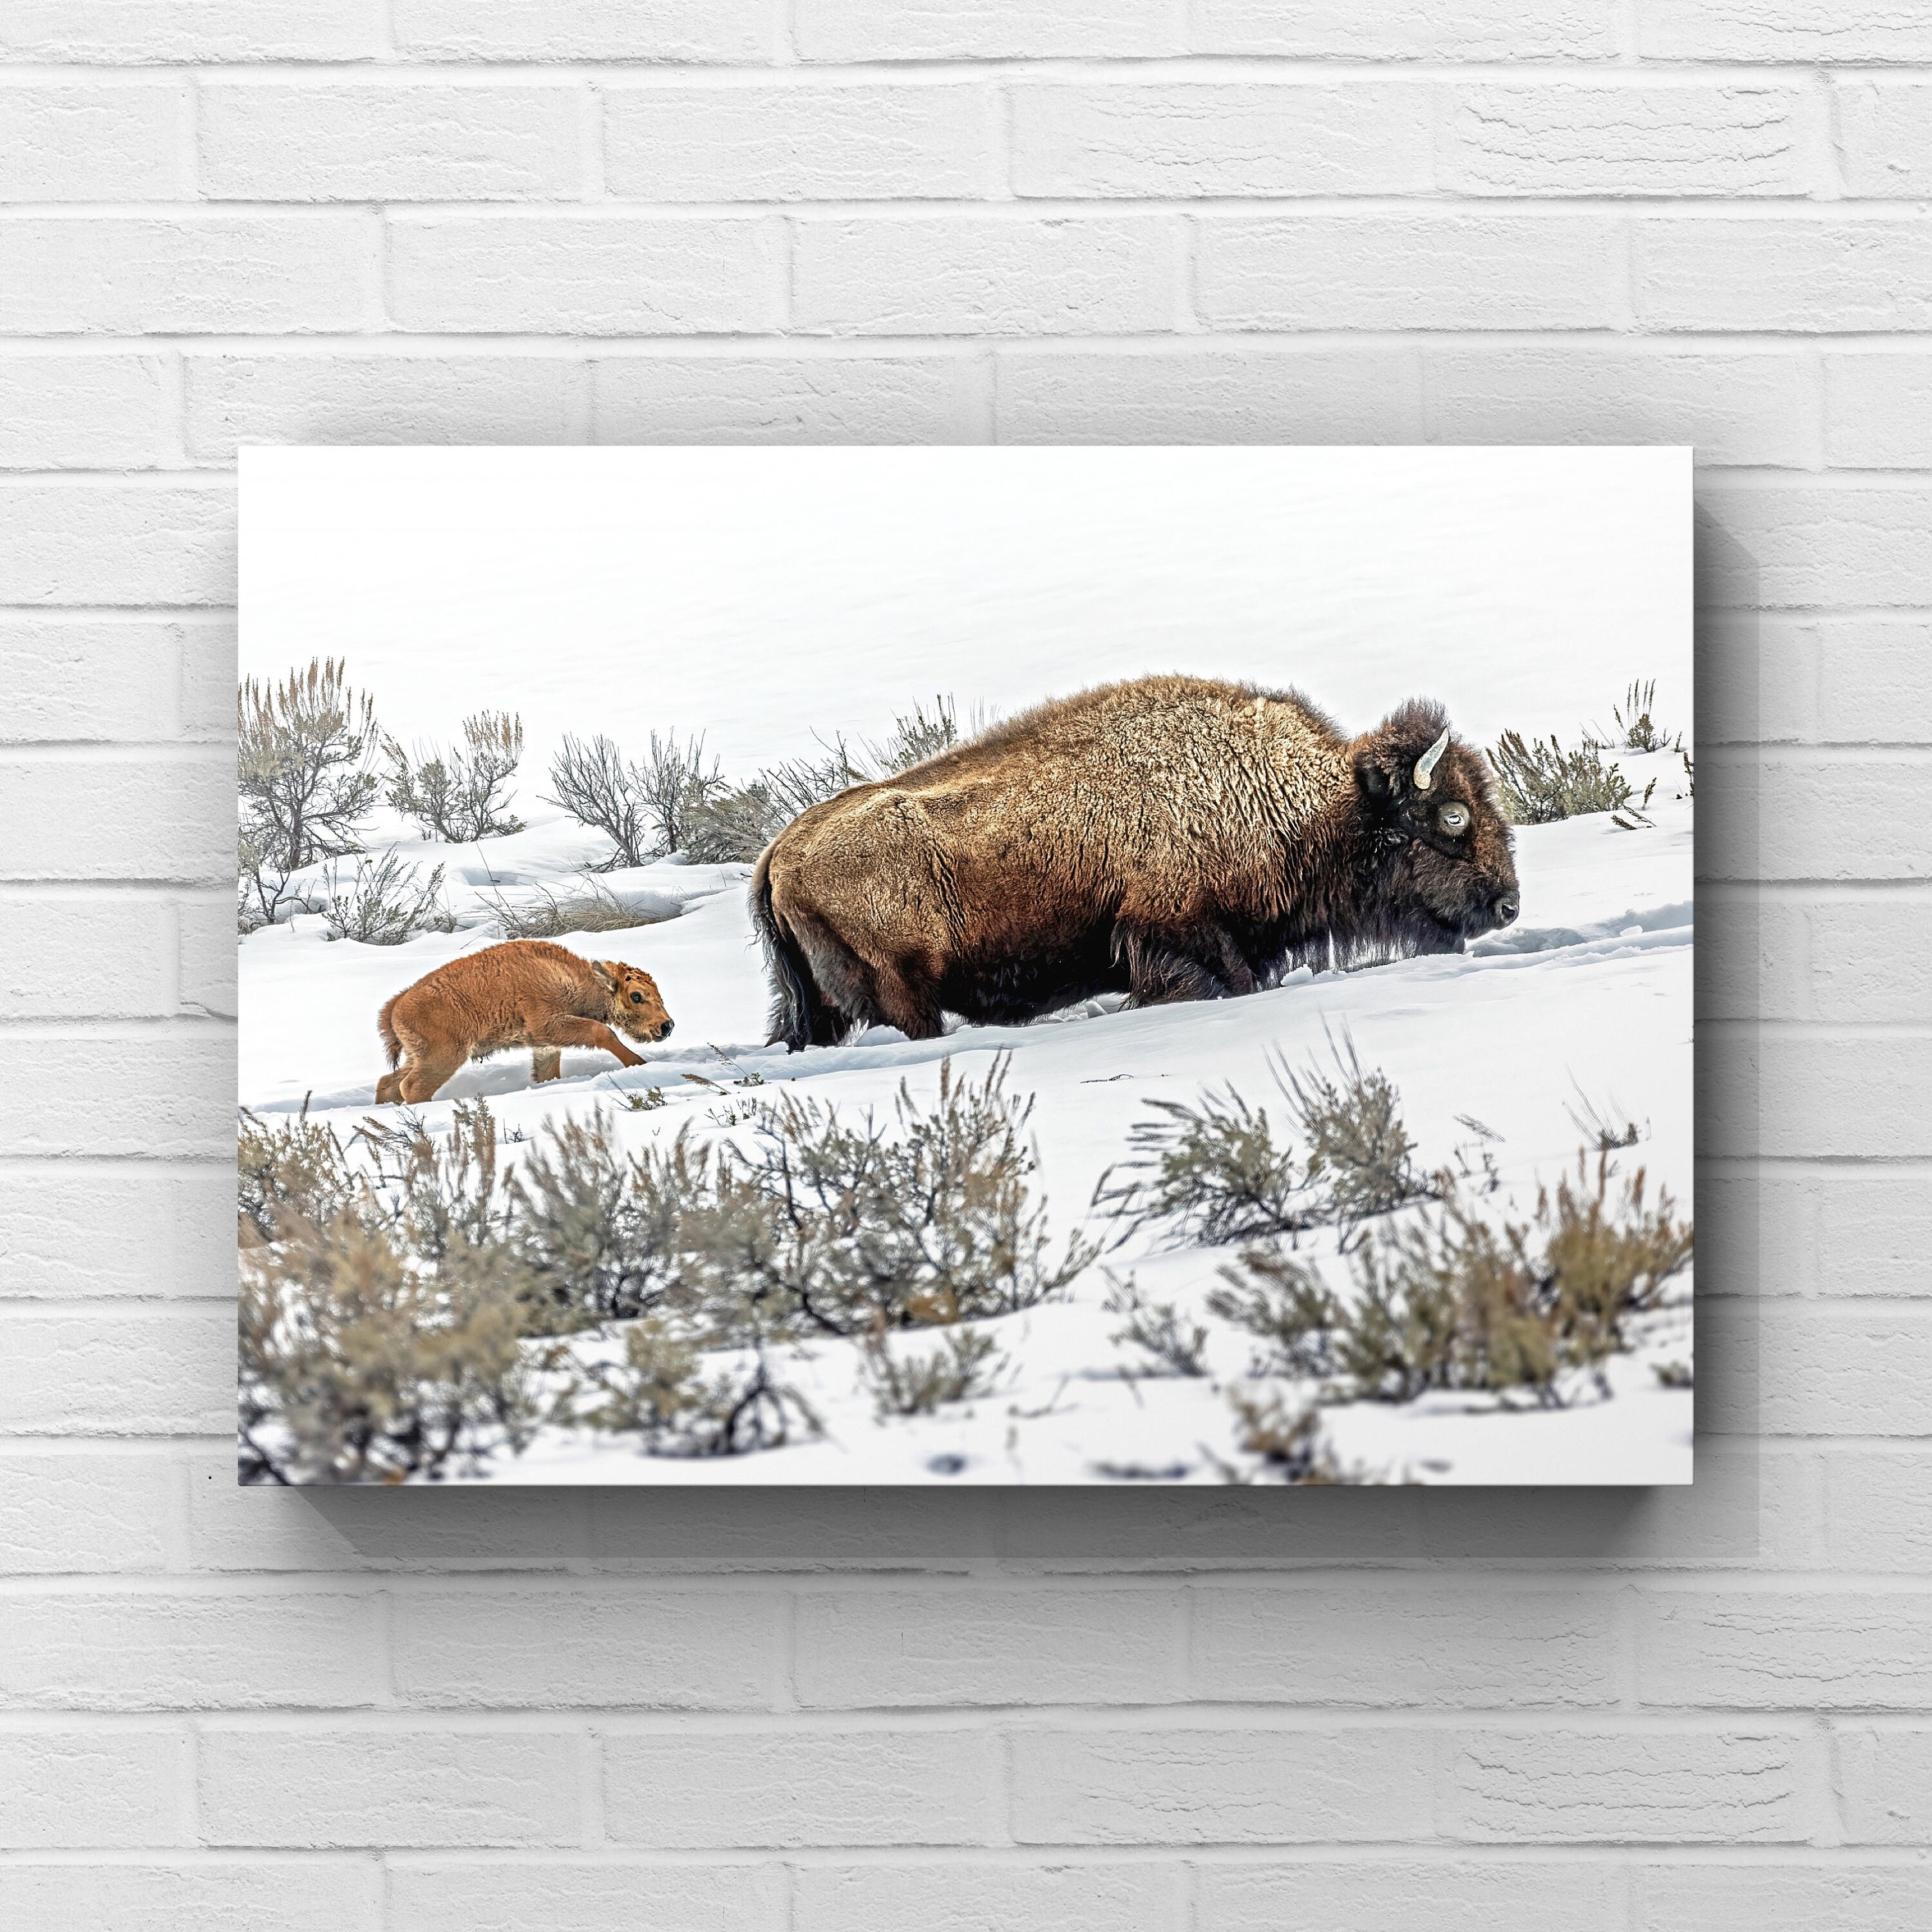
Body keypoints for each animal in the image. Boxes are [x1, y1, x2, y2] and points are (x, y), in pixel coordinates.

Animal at [751, 673, 1519, 1051]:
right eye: (1452, 817)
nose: (1508, 903)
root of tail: (777, 855)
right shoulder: (1180, 934)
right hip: (903, 993)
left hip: (818, 1004)